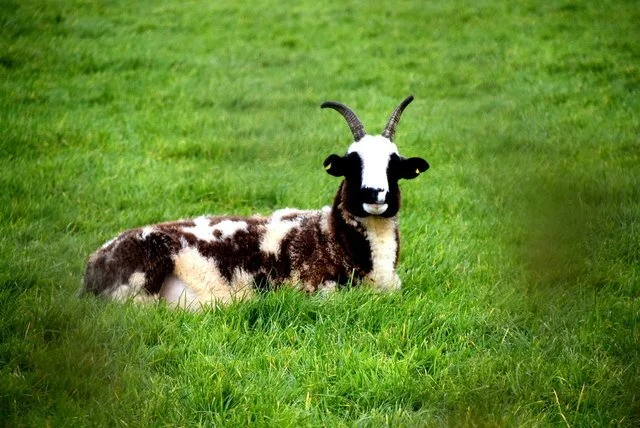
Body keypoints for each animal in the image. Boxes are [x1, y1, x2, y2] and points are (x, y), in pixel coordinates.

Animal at [82, 95, 429, 308]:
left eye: (394, 166)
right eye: (351, 165)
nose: (374, 194)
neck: (330, 234)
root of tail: (92, 265)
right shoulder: (316, 289)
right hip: (140, 282)